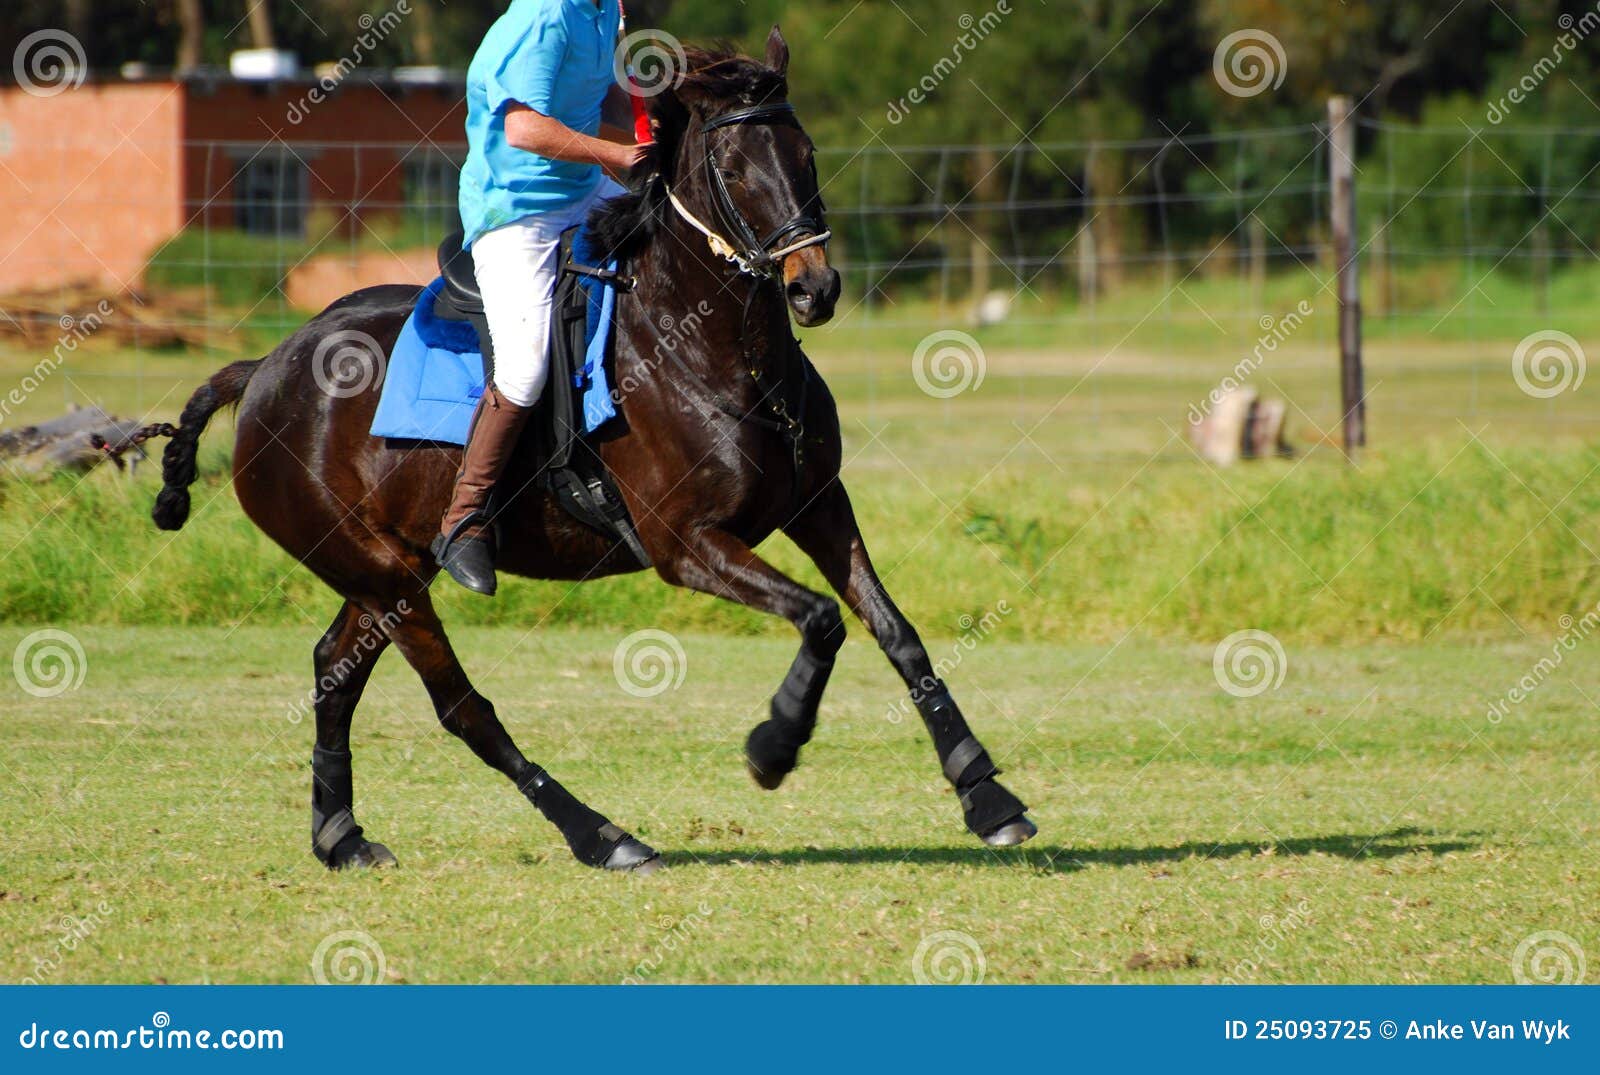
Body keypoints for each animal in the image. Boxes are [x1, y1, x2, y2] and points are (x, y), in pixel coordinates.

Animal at [147, 29, 1036, 874]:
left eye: (806, 152)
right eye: (731, 166)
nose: (813, 289)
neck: (717, 349)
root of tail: (266, 367)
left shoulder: (818, 505)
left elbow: (894, 628)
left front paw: (984, 791)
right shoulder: (687, 543)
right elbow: (820, 619)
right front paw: (774, 743)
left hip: (383, 572)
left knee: (335, 672)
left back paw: (341, 835)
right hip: (383, 573)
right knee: (463, 709)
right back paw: (603, 835)